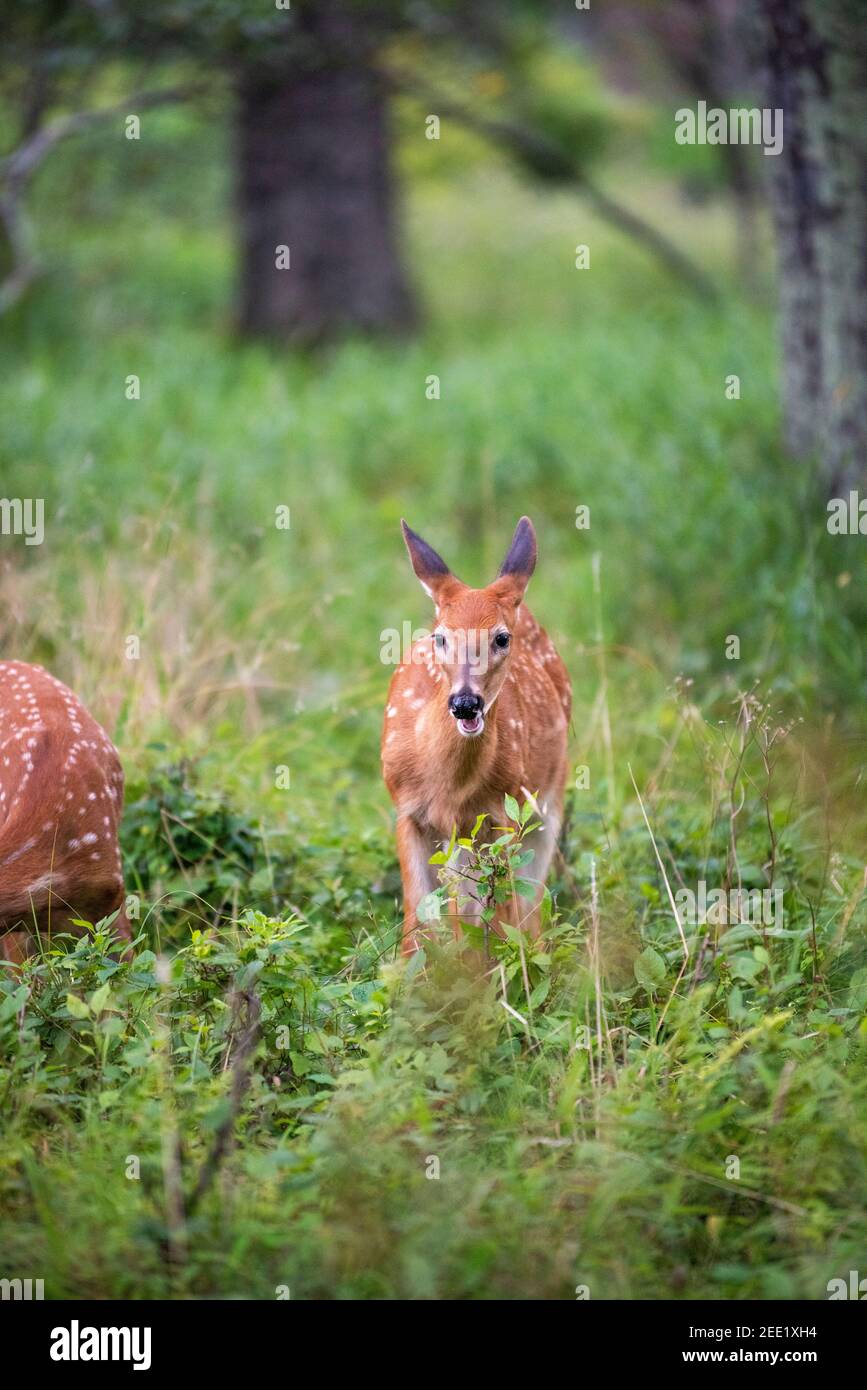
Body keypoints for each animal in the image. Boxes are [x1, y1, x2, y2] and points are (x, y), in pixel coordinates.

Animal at [382, 516, 571, 955]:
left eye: (500, 638)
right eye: (440, 637)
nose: (466, 703)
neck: (448, 787)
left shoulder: (501, 814)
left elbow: (496, 919)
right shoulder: (407, 811)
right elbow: (418, 920)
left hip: (547, 804)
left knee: (528, 908)